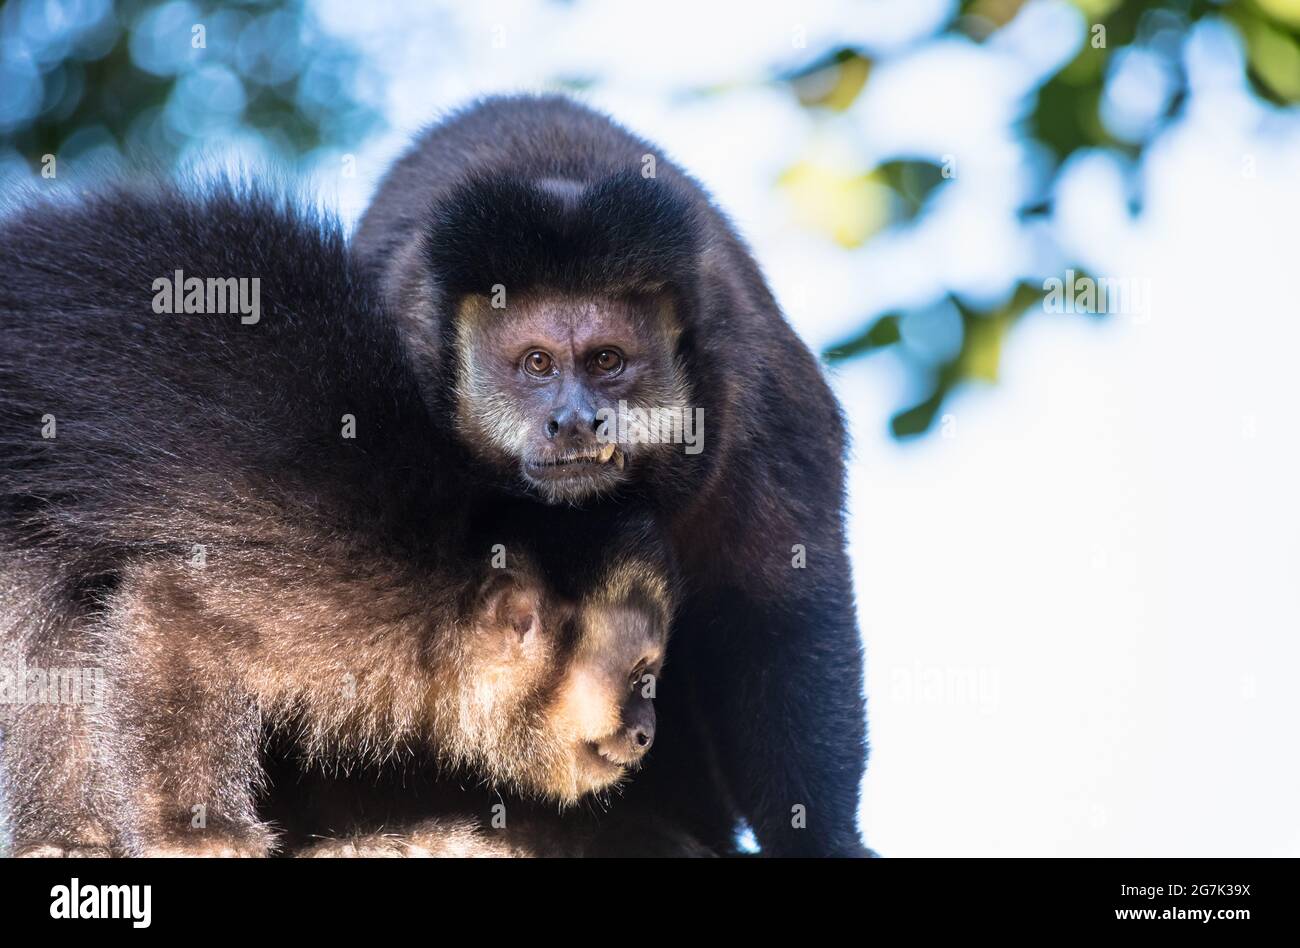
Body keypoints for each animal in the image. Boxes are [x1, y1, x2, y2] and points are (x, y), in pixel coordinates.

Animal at [0, 180, 675, 856]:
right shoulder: (350, 595)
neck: (446, 591)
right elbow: (169, 611)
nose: (647, 732)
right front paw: (196, 831)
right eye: (638, 677)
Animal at [350, 94, 869, 857]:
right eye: (537, 363)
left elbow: (779, 619)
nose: (573, 421)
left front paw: (820, 837)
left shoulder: (761, 405)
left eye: (606, 360)